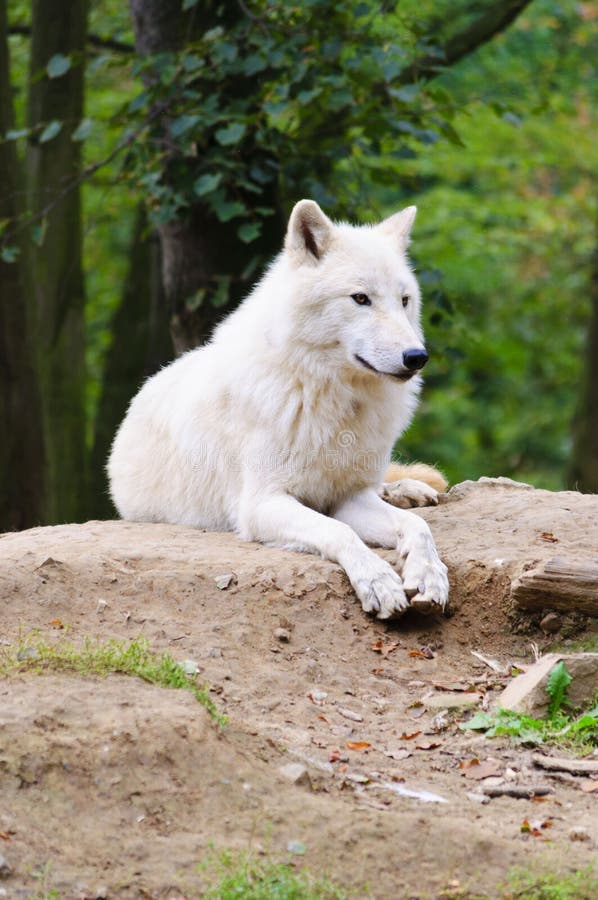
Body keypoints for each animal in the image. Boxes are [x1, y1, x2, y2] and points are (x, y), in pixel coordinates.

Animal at [108, 200, 449, 619]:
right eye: (360, 298)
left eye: (404, 300)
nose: (416, 357)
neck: (328, 395)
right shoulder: (262, 504)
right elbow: (339, 531)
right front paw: (379, 583)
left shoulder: (349, 496)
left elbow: (418, 527)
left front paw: (430, 575)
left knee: (390, 487)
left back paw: (410, 489)